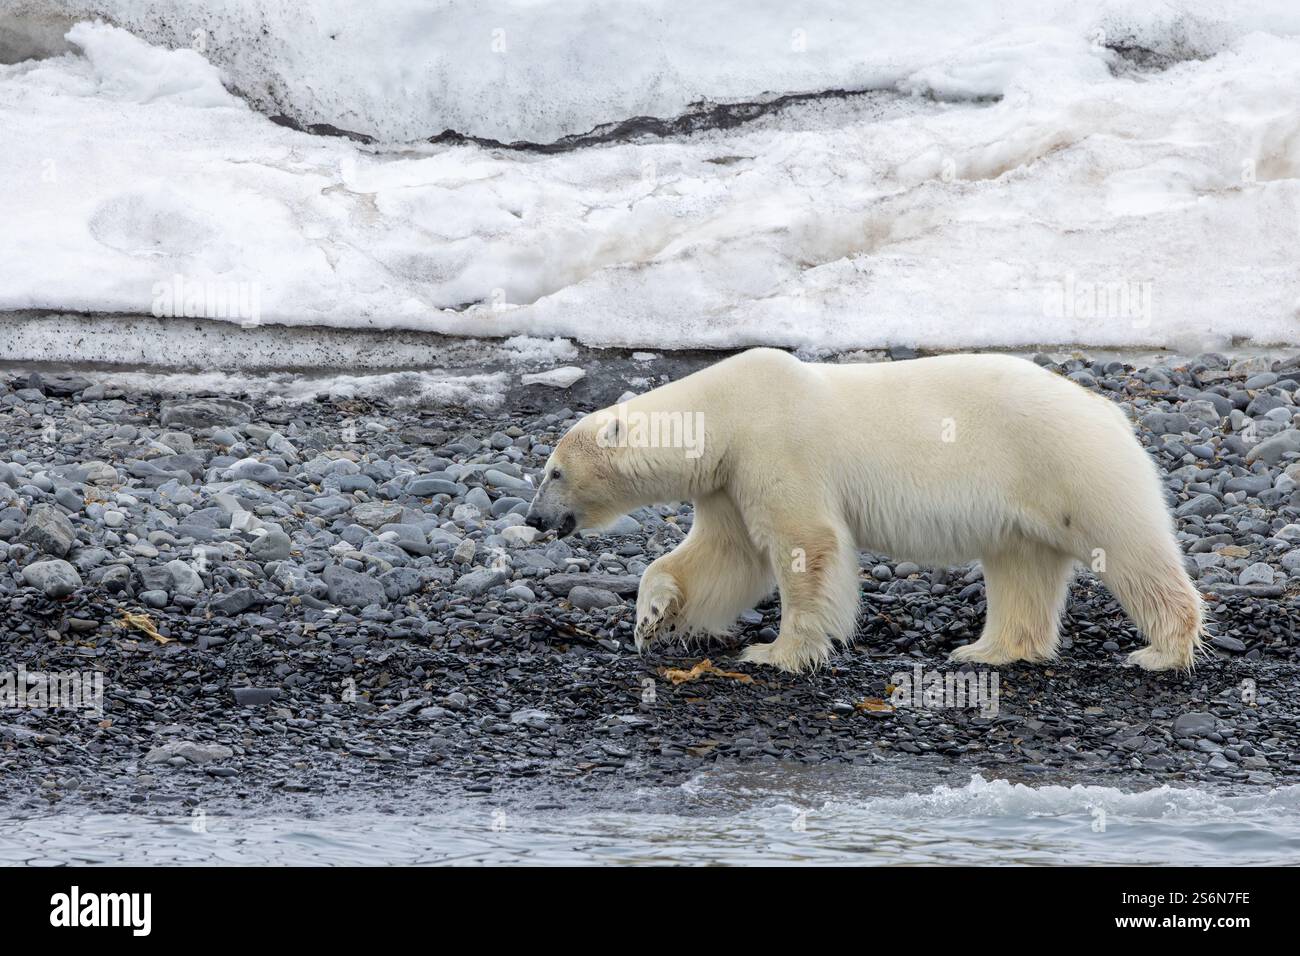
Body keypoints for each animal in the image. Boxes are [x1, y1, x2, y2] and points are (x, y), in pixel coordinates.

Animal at [524, 348, 1204, 674]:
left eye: (553, 471)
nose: (533, 519)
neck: (724, 413)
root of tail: (1108, 409)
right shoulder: (728, 477)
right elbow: (726, 556)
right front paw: (652, 617)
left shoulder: (775, 446)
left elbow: (806, 544)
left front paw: (778, 653)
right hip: (1023, 501)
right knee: (1021, 567)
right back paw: (988, 650)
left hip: (1071, 465)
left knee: (1129, 548)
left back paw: (1160, 651)